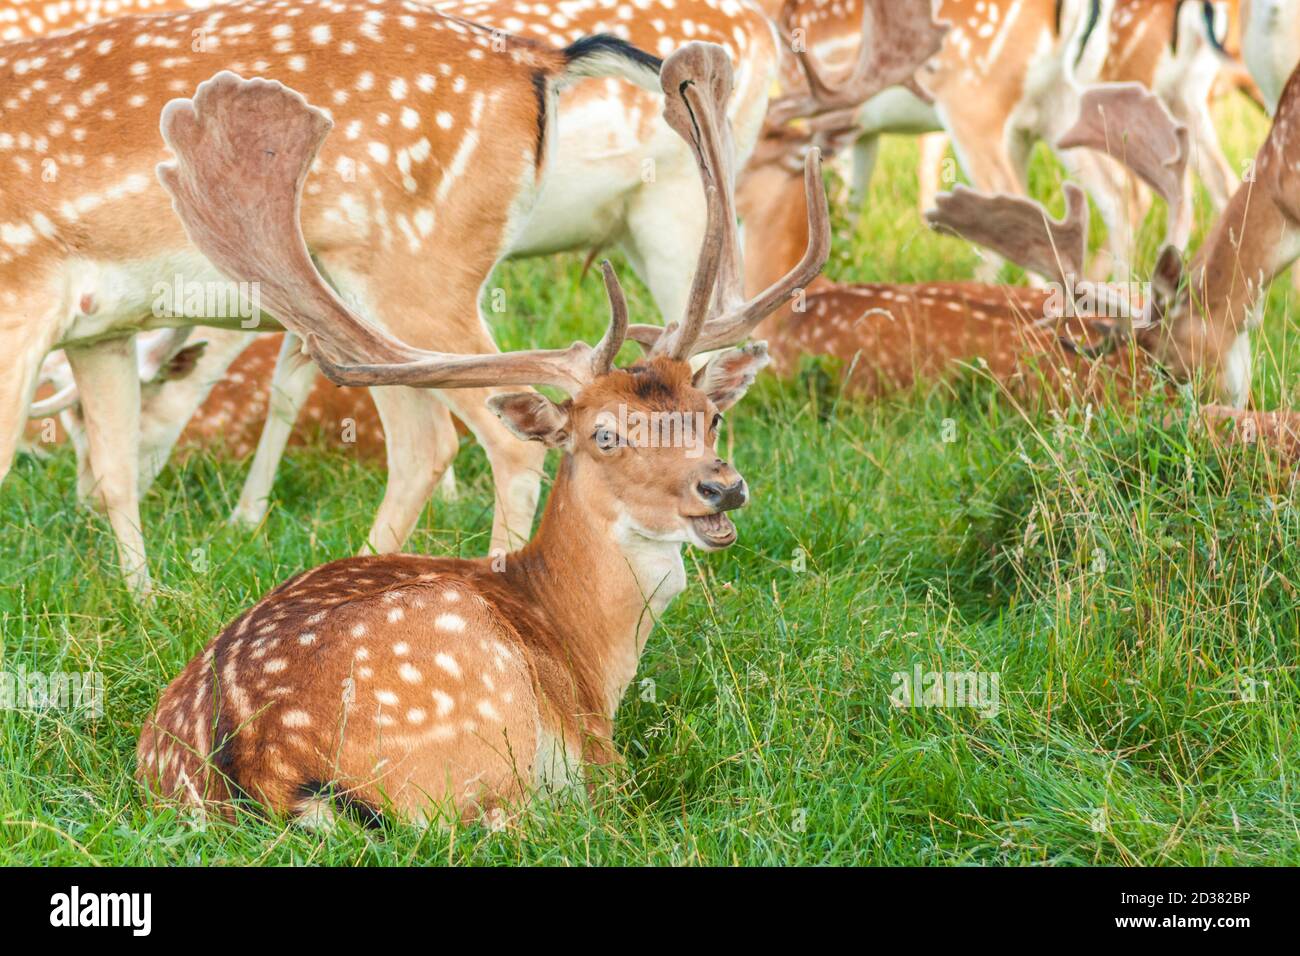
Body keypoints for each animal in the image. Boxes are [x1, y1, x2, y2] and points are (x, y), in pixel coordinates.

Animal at [4, 0, 782, 579]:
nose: (71, 499)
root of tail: (540, 60)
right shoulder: (101, 330)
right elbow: (117, 469)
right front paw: (144, 596)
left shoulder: (22, 302)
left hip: (422, 273)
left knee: (493, 440)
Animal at [136, 43, 831, 824]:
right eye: (605, 436)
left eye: (709, 415)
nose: (722, 486)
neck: (588, 647)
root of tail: (260, 762)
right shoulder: (600, 752)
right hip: (476, 721)